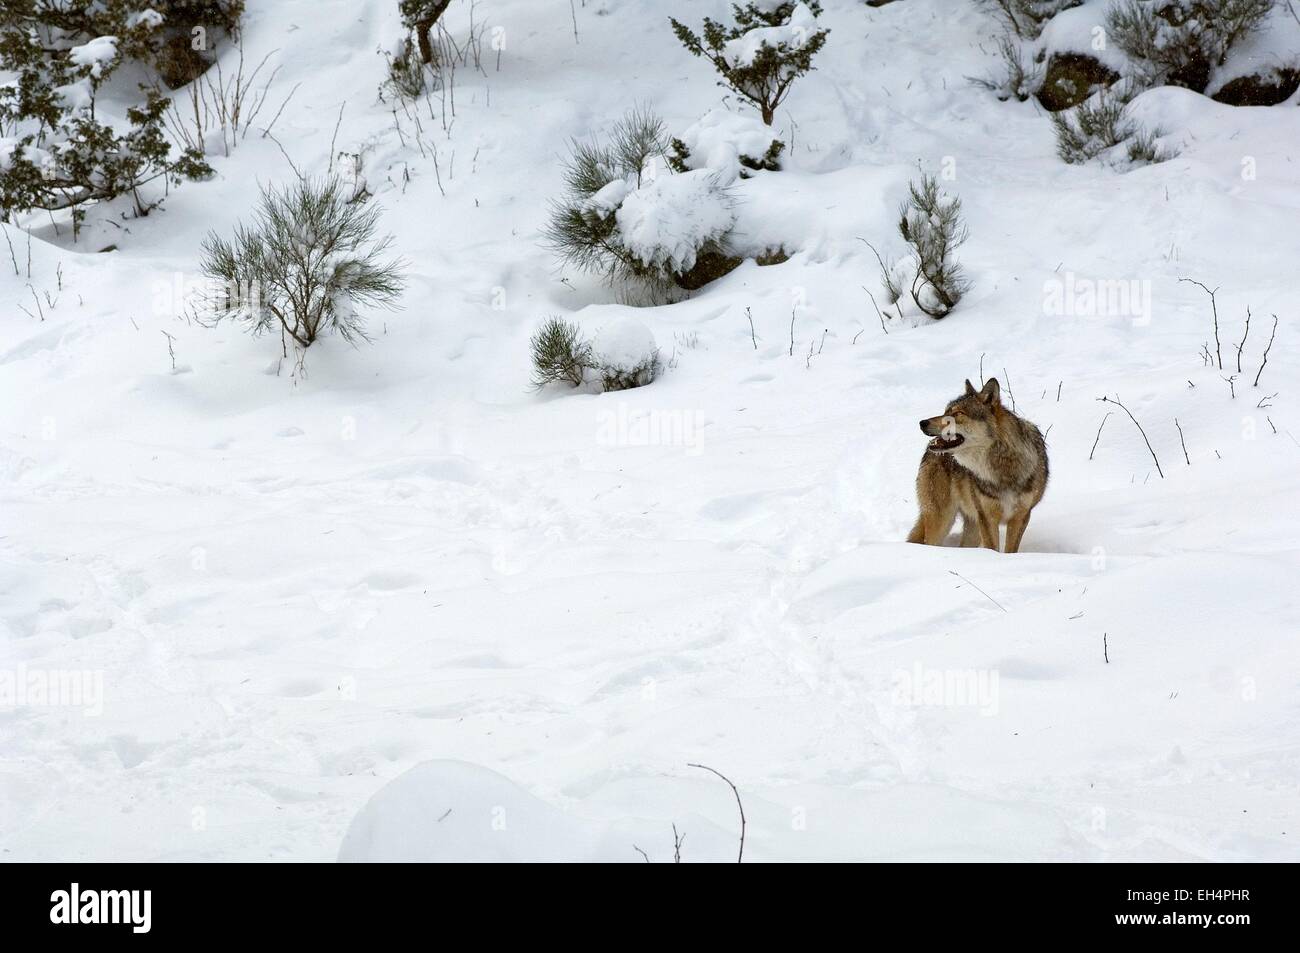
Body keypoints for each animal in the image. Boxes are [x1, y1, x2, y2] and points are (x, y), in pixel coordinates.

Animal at [906, 378, 1048, 553]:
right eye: (945, 411)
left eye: (957, 414)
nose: (922, 423)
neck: (1002, 467)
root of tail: (928, 449)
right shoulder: (987, 518)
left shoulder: (1020, 516)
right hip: (941, 519)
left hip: (972, 528)